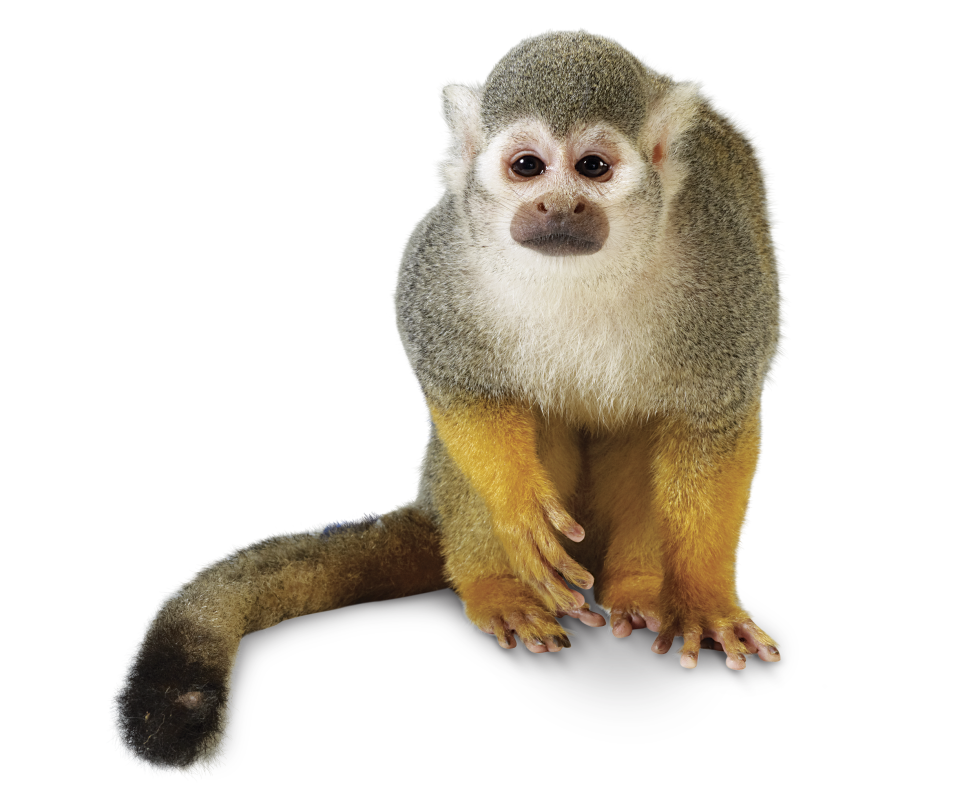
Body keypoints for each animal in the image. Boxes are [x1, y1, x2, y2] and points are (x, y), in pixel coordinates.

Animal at [108, 28, 789, 779]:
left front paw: (702, 600)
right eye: (527, 167)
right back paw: (496, 588)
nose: (558, 207)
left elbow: (712, 419)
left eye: (592, 167)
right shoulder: (446, 254)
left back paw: (636, 586)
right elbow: (460, 386)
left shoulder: (720, 269)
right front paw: (517, 513)